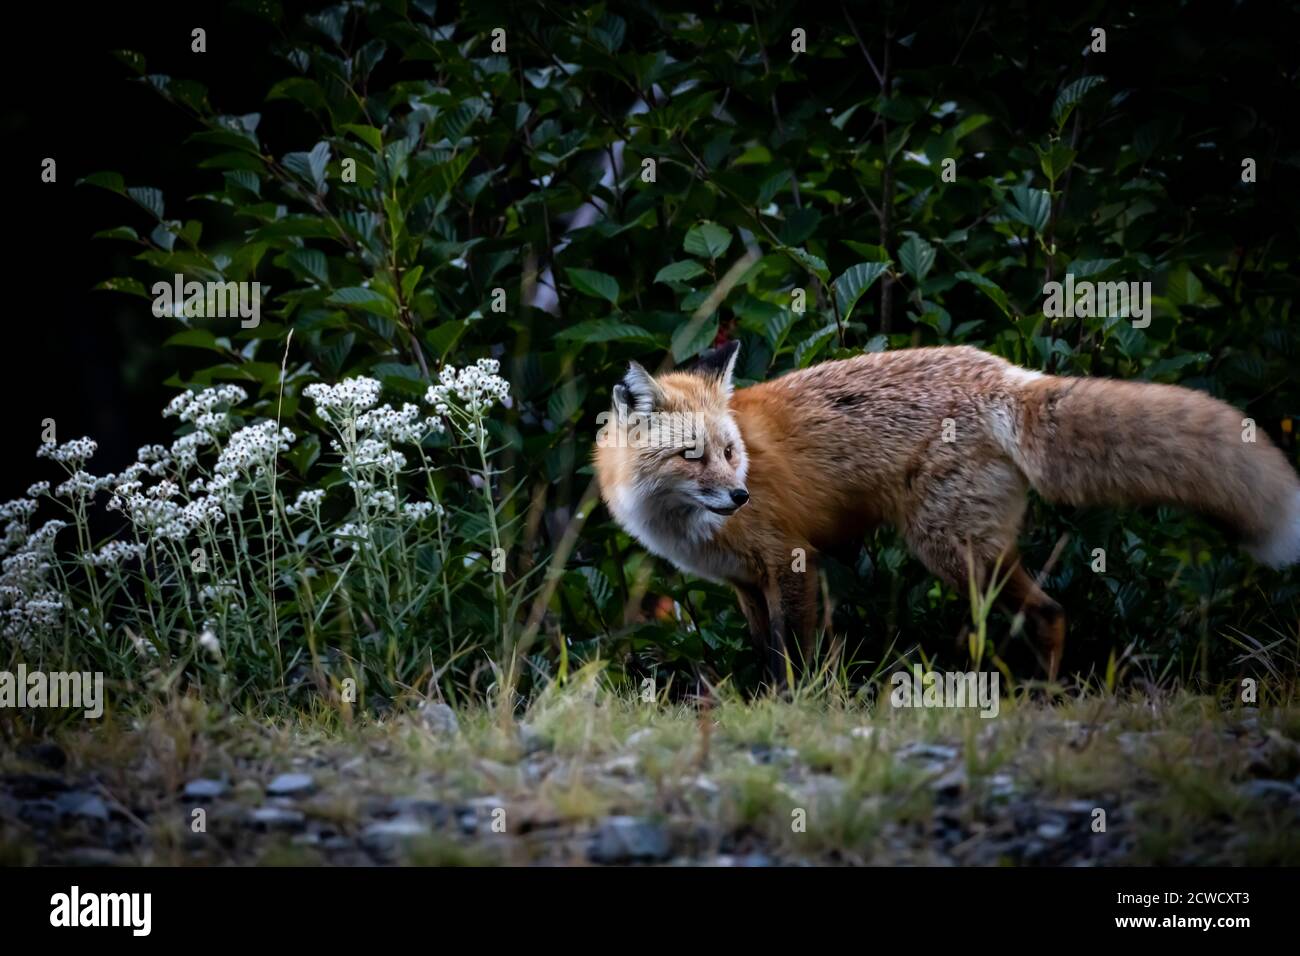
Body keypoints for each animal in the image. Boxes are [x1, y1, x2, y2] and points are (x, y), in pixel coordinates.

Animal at [594, 341, 1300, 684]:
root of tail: (1008, 375)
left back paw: (1041, 702)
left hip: (950, 550)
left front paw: (790, 707)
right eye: (692, 455)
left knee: (1049, 613)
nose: (740, 495)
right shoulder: (747, 583)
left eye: (730, 452)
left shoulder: (791, 562)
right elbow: (768, 650)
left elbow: (793, 657)